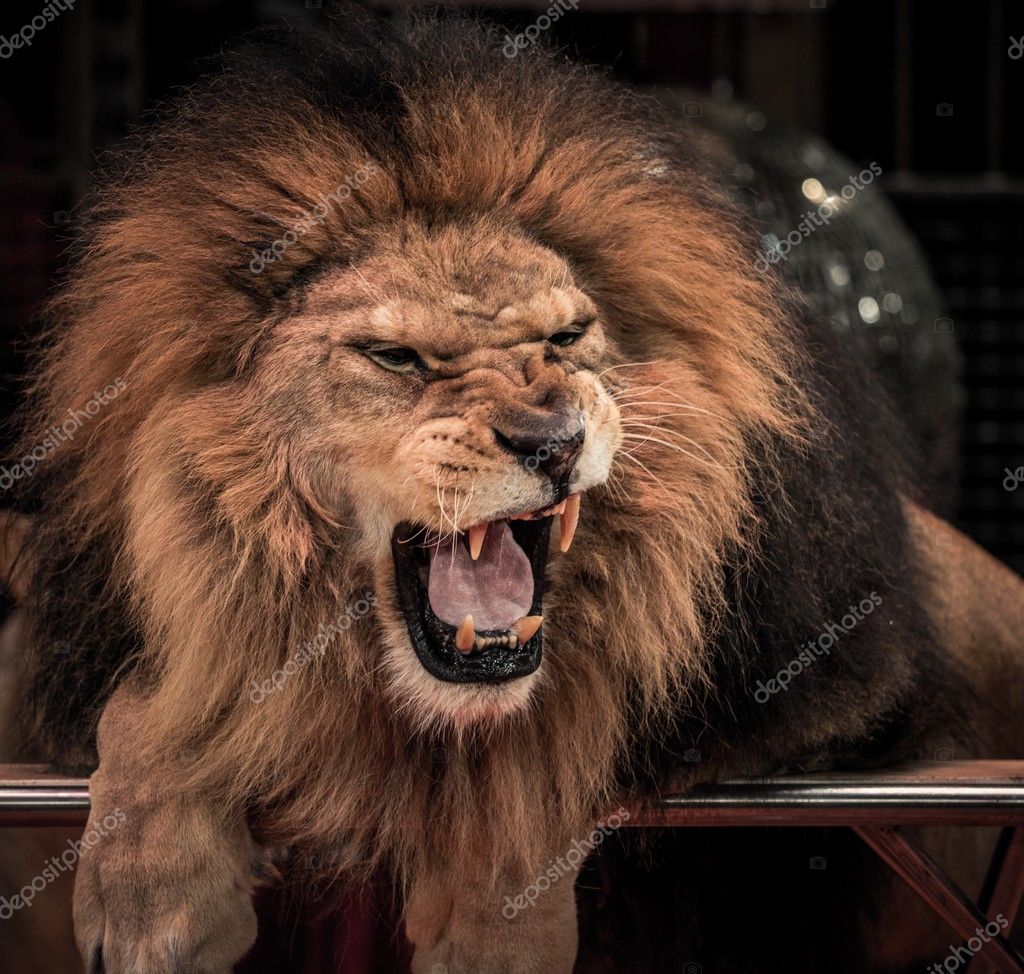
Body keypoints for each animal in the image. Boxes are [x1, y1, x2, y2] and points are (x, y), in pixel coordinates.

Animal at [4, 10, 1024, 973]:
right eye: (395, 357)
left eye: (569, 337)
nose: (554, 442)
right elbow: (151, 708)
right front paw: (150, 906)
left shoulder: (844, 690)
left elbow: (550, 747)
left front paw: (493, 919)